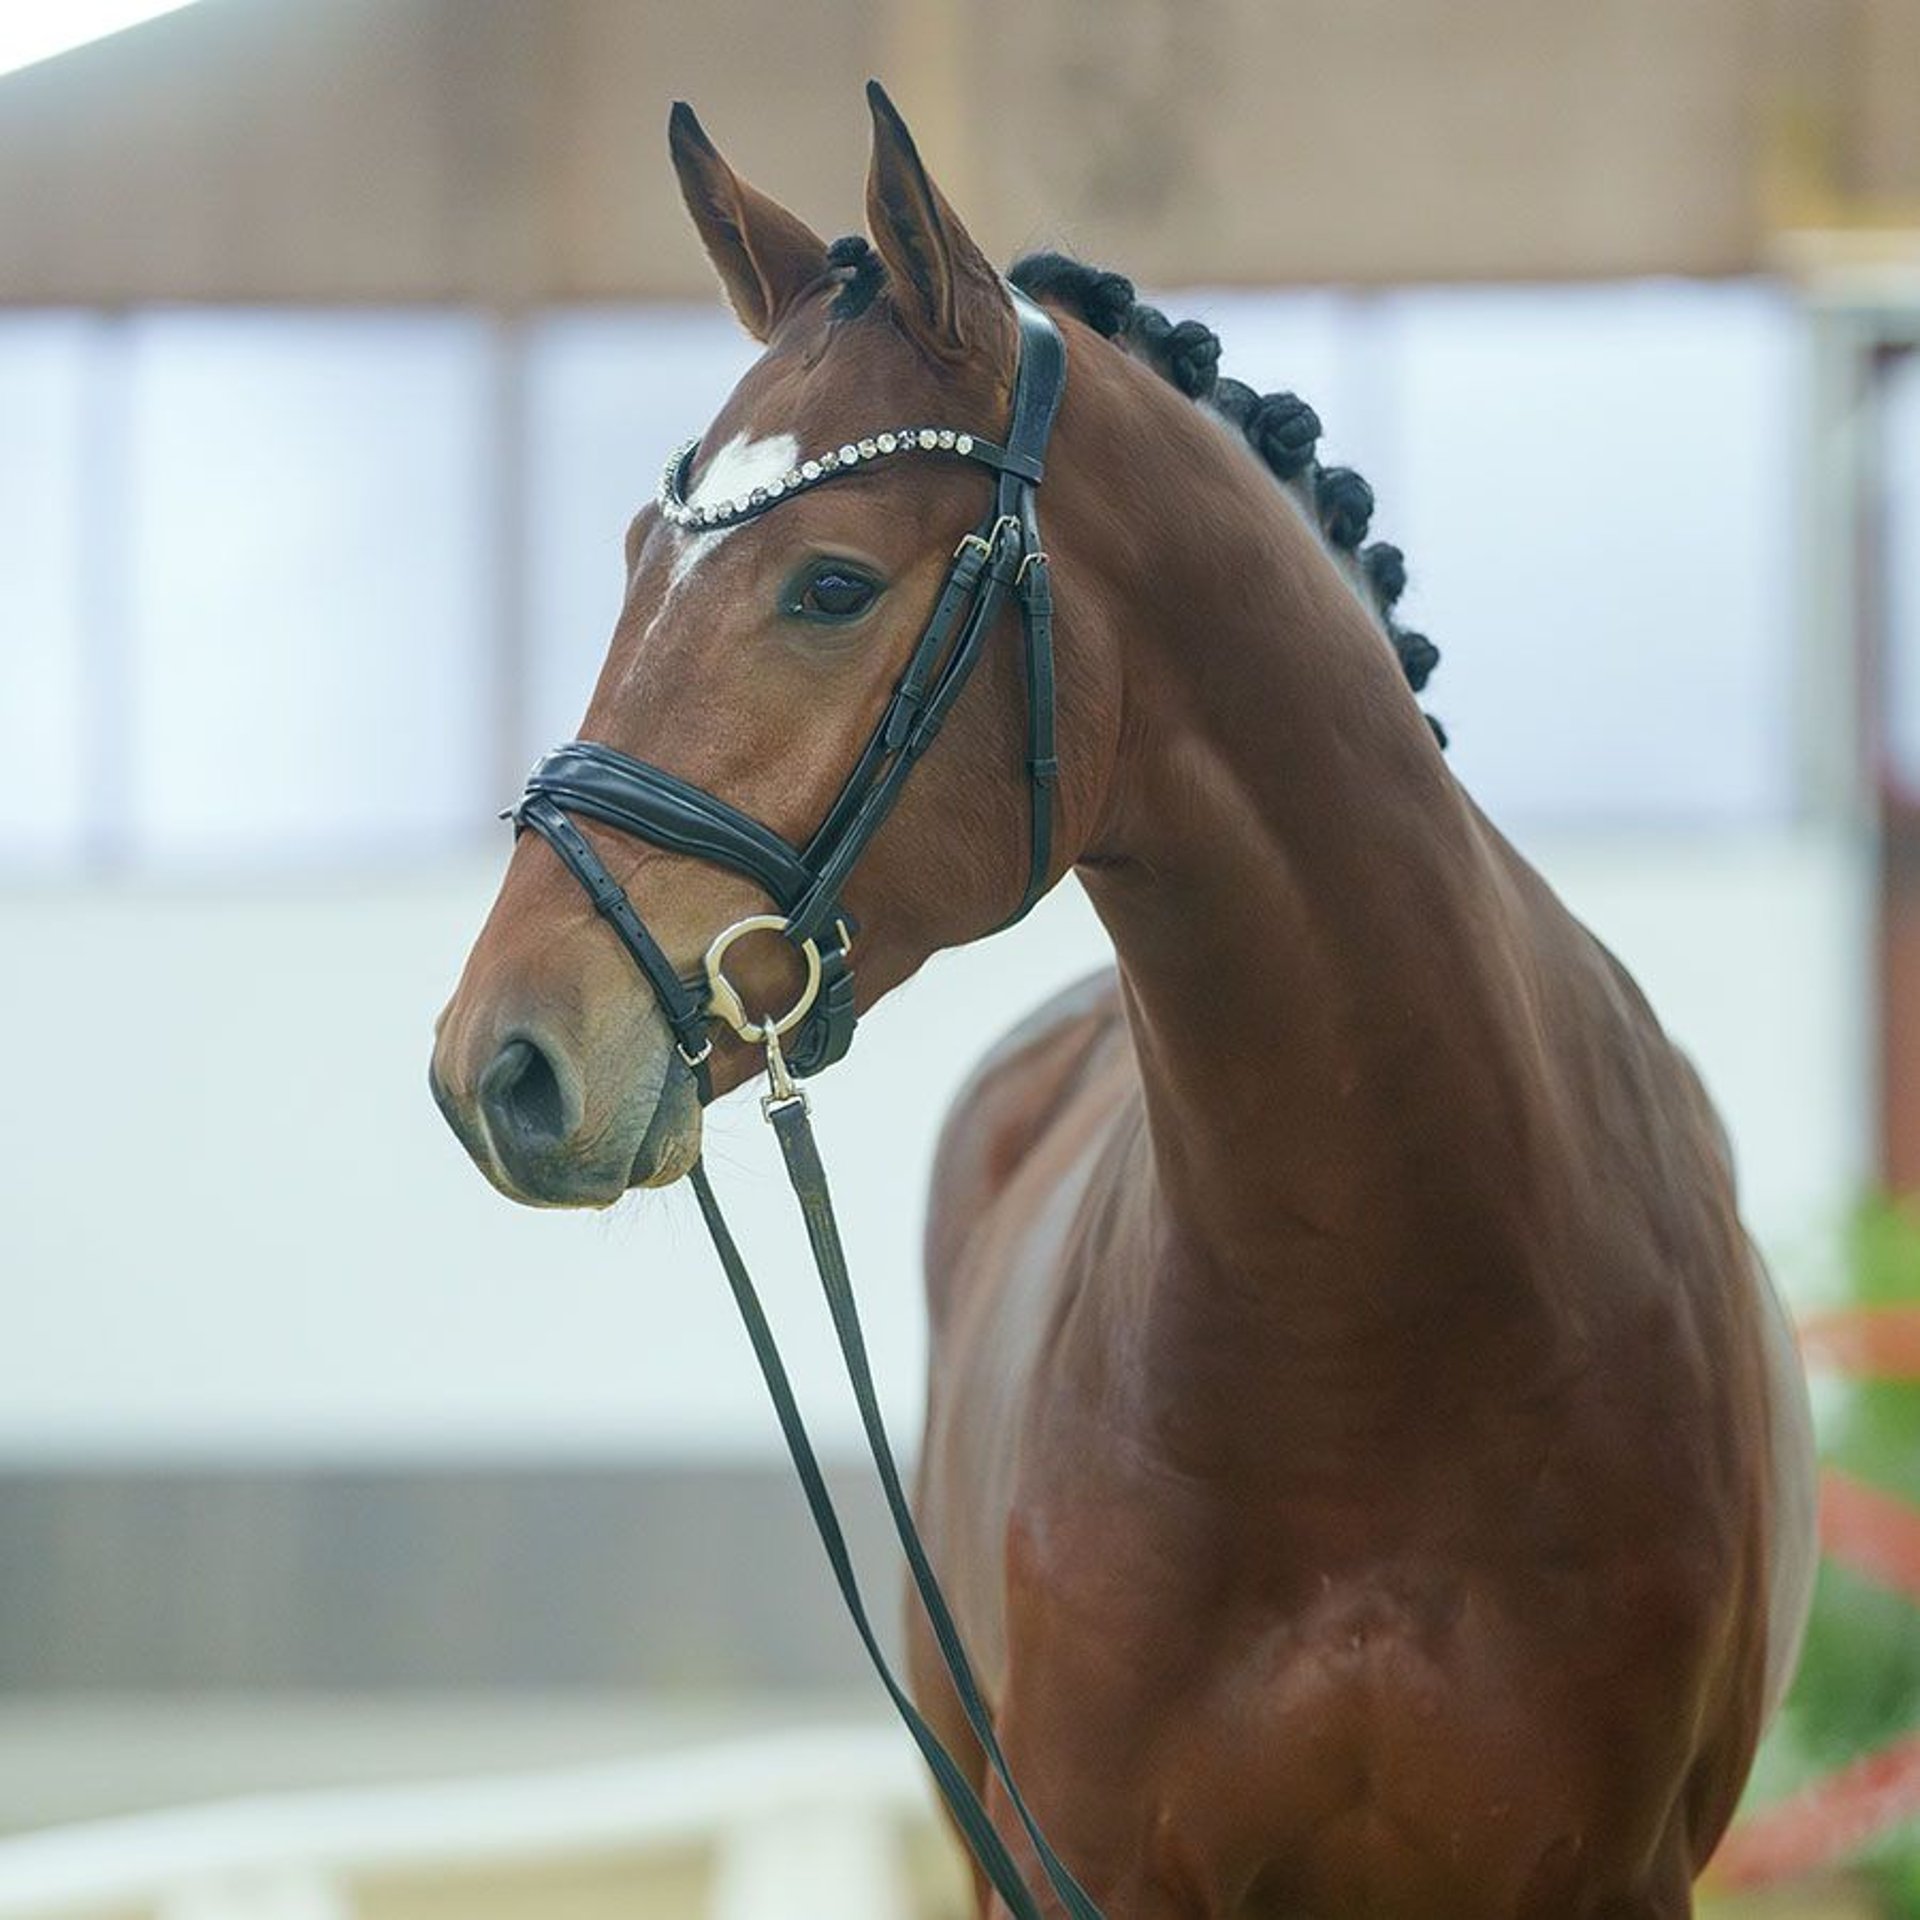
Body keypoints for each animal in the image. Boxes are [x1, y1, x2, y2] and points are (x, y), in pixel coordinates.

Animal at [430, 84, 1819, 1919]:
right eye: (636, 553)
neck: (1383, 1342)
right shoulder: (1073, 1856)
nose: (499, 1064)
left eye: (830, 585)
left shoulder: (1612, 1879)